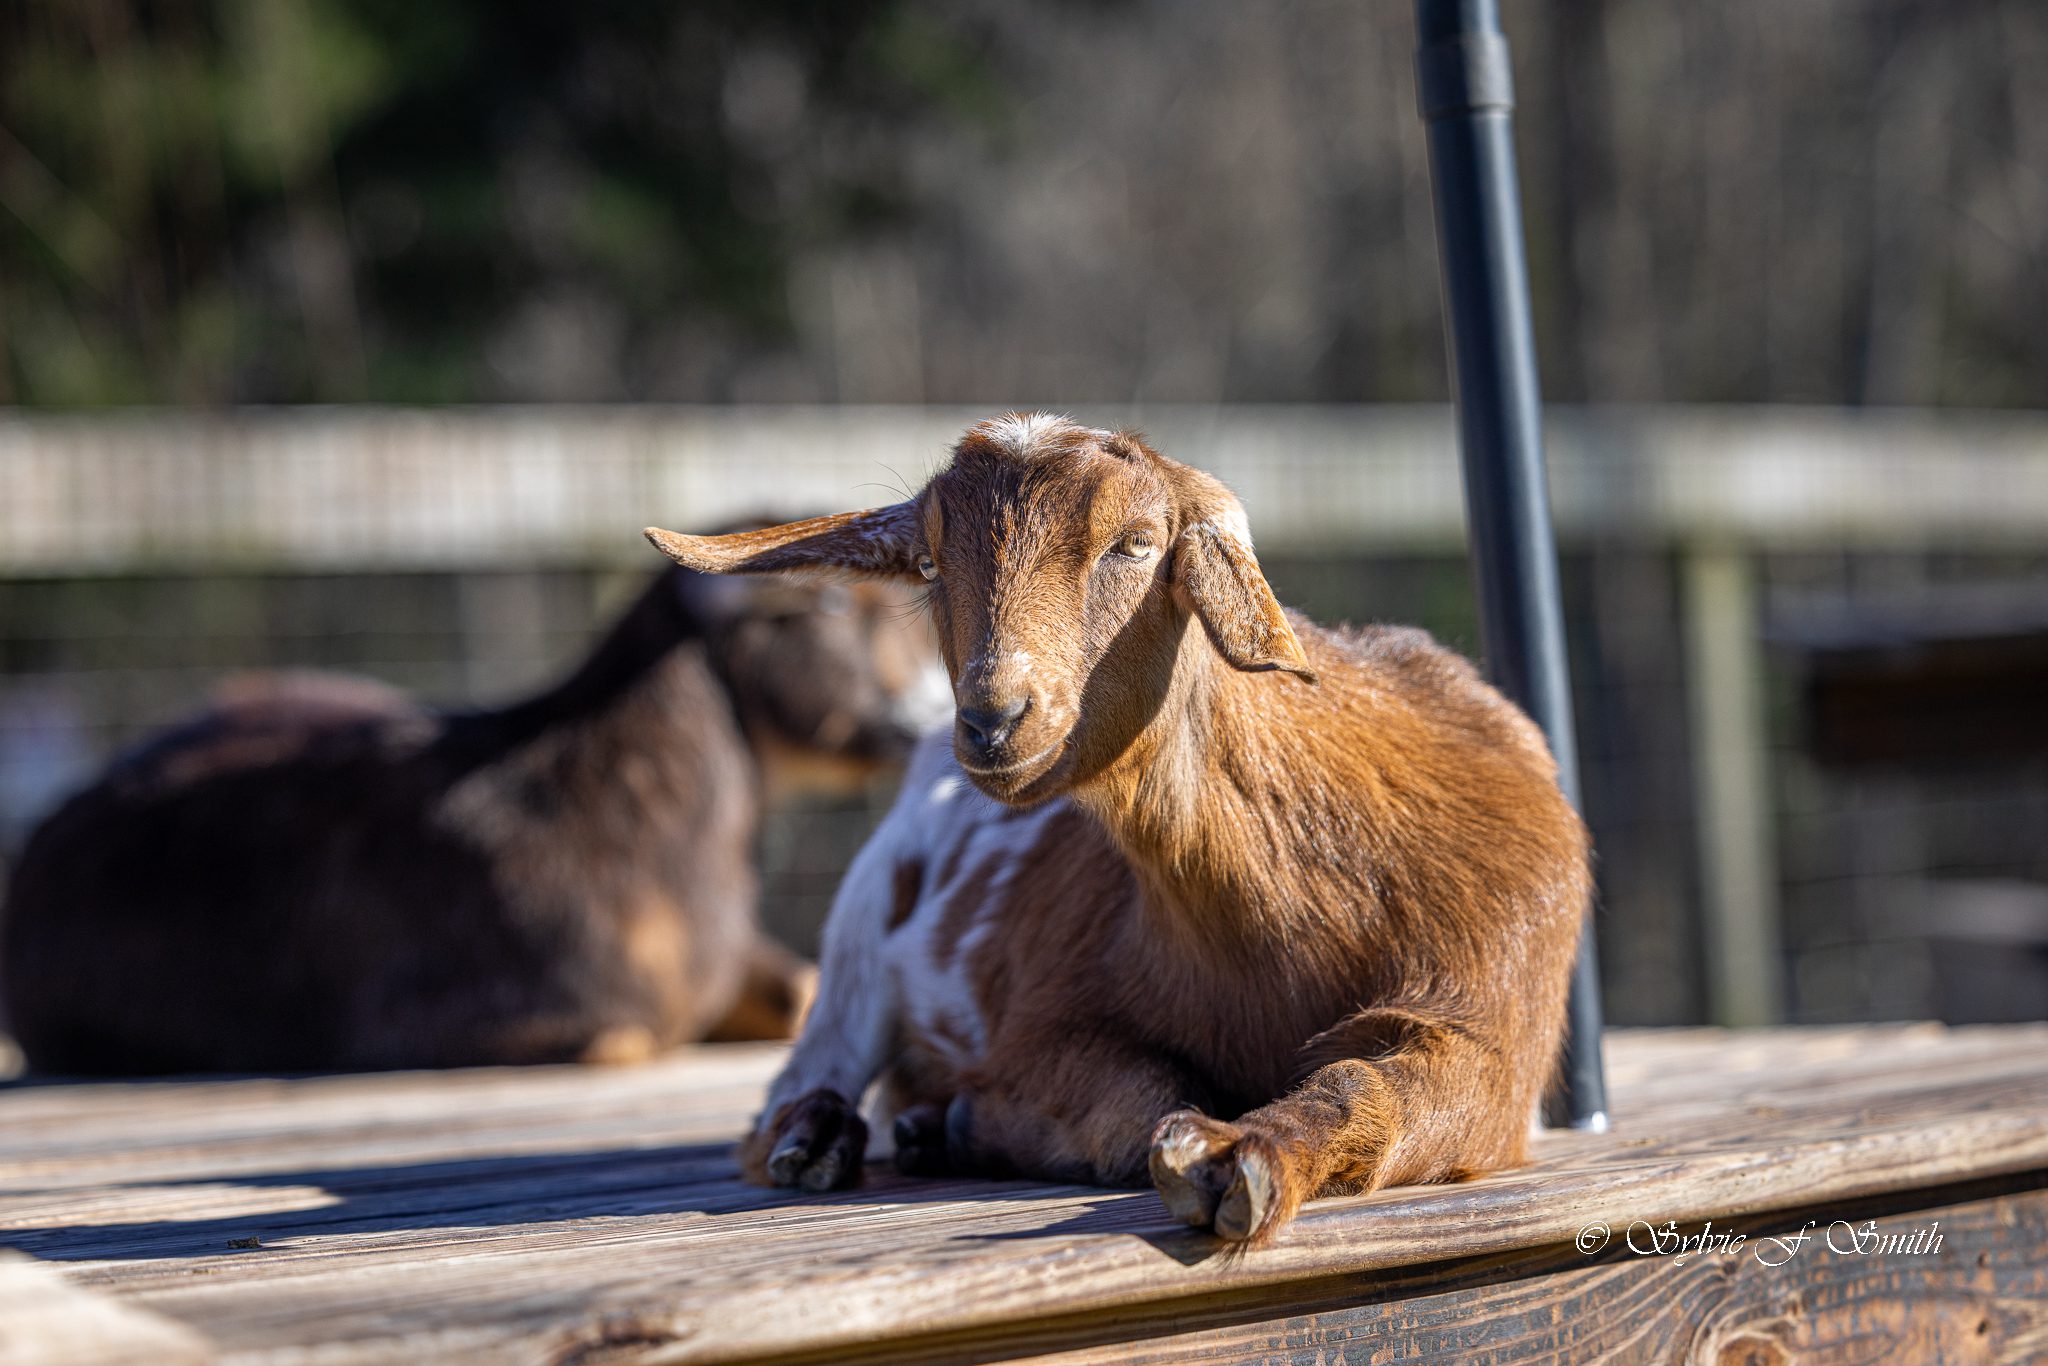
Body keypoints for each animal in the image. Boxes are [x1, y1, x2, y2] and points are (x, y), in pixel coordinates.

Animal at [644, 414, 1590, 1243]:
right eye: (929, 561)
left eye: (1135, 543)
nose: (992, 722)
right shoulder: (1048, 1018)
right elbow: (1145, 1094)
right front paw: (972, 1122)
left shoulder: (1493, 1018)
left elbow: (1368, 1086)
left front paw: (1239, 1159)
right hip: (857, 939)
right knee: (796, 1086)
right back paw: (819, 1137)